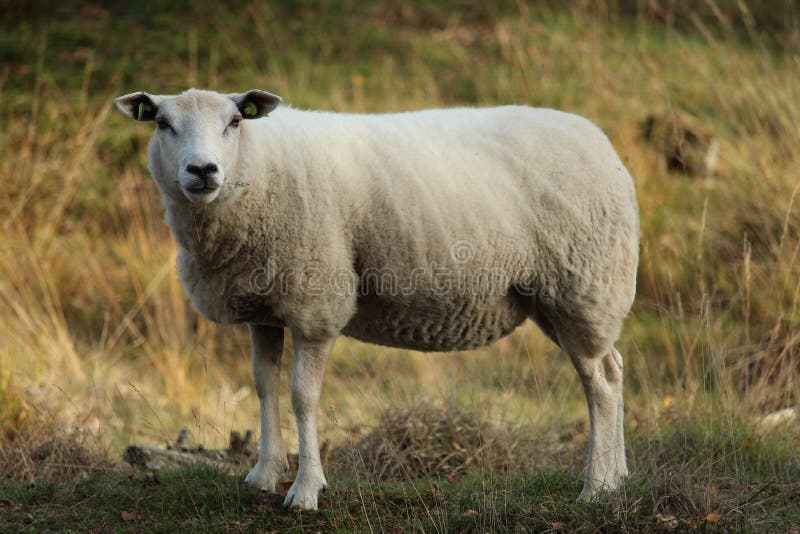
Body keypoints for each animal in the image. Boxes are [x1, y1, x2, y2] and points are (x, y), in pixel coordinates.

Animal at [114, 88, 639, 511]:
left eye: (234, 122)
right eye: (162, 123)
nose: (202, 170)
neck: (259, 168)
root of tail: (602, 142)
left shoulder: (315, 302)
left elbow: (302, 396)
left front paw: (305, 490)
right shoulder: (263, 308)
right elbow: (264, 386)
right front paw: (263, 474)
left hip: (583, 285)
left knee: (600, 385)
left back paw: (595, 487)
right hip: (563, 299)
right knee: (613, 368)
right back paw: (617, 478)